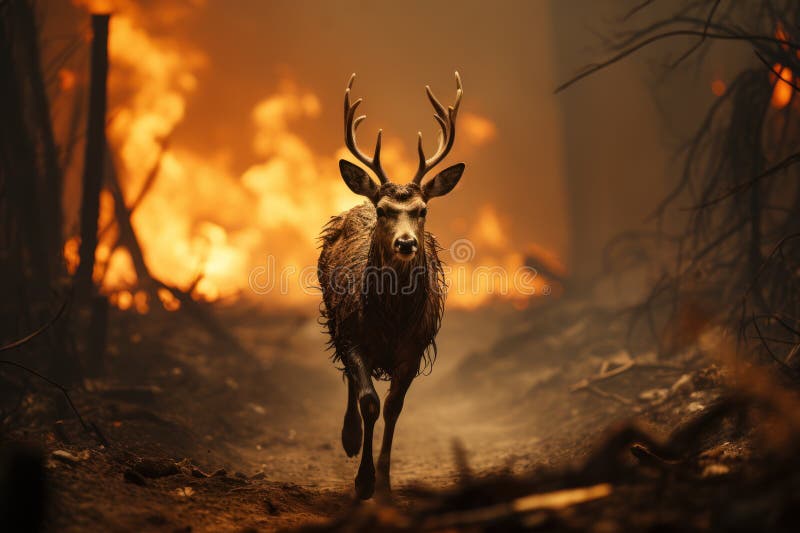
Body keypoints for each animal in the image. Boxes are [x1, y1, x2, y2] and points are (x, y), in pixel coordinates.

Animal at [317, 72, 465, 500]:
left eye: (423, 210)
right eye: (384, 211)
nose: (406, 243)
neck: (391, 319)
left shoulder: (414, 347)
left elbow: (394, 407)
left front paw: (384, 481)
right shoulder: (354, 335)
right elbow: (368, 401)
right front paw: (363, 480)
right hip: (336, 319)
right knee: (350, 381)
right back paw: (349, 438)